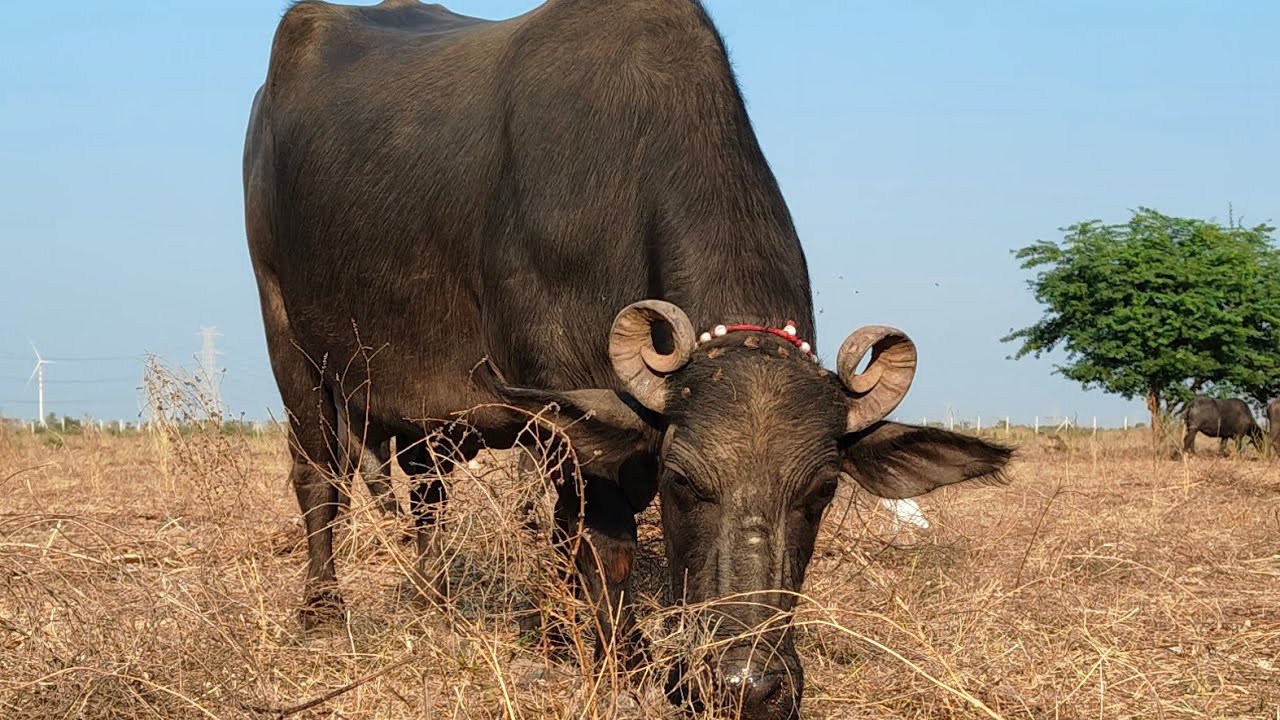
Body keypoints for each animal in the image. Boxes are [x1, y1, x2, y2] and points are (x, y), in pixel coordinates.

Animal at [243, 1, 1012, 717]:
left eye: (821, 492)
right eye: (684, 483)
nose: (746, 686)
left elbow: (563, 535)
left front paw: (560, 640)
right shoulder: (566, 412)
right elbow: (601, 544)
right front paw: (627, 663)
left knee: (426, 493)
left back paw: (434, 596)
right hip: (291, 342)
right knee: (319, 479)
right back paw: (322, 609)